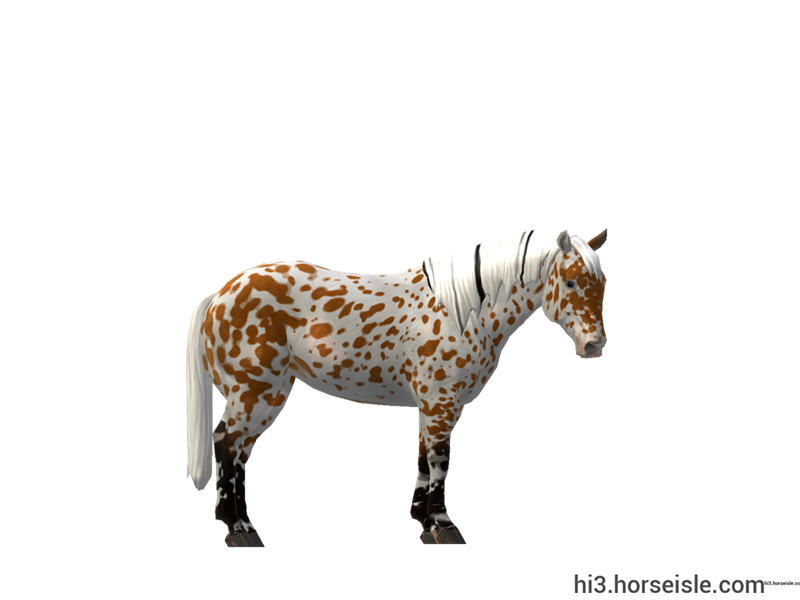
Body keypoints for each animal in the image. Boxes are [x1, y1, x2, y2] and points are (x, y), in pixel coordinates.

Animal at [187, 228, 606, 540]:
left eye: (600, 282)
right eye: (570, 282)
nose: (593, 344)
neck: (461, 311)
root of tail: (221, 293)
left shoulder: (434, 404)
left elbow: (423, 458)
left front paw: (423, 518)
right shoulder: (440, 400)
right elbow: (439, 459)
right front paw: (441, 524)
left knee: (236, 451)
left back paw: (238, 520)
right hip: (252, 392)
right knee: (227, 447)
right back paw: (235, 525)